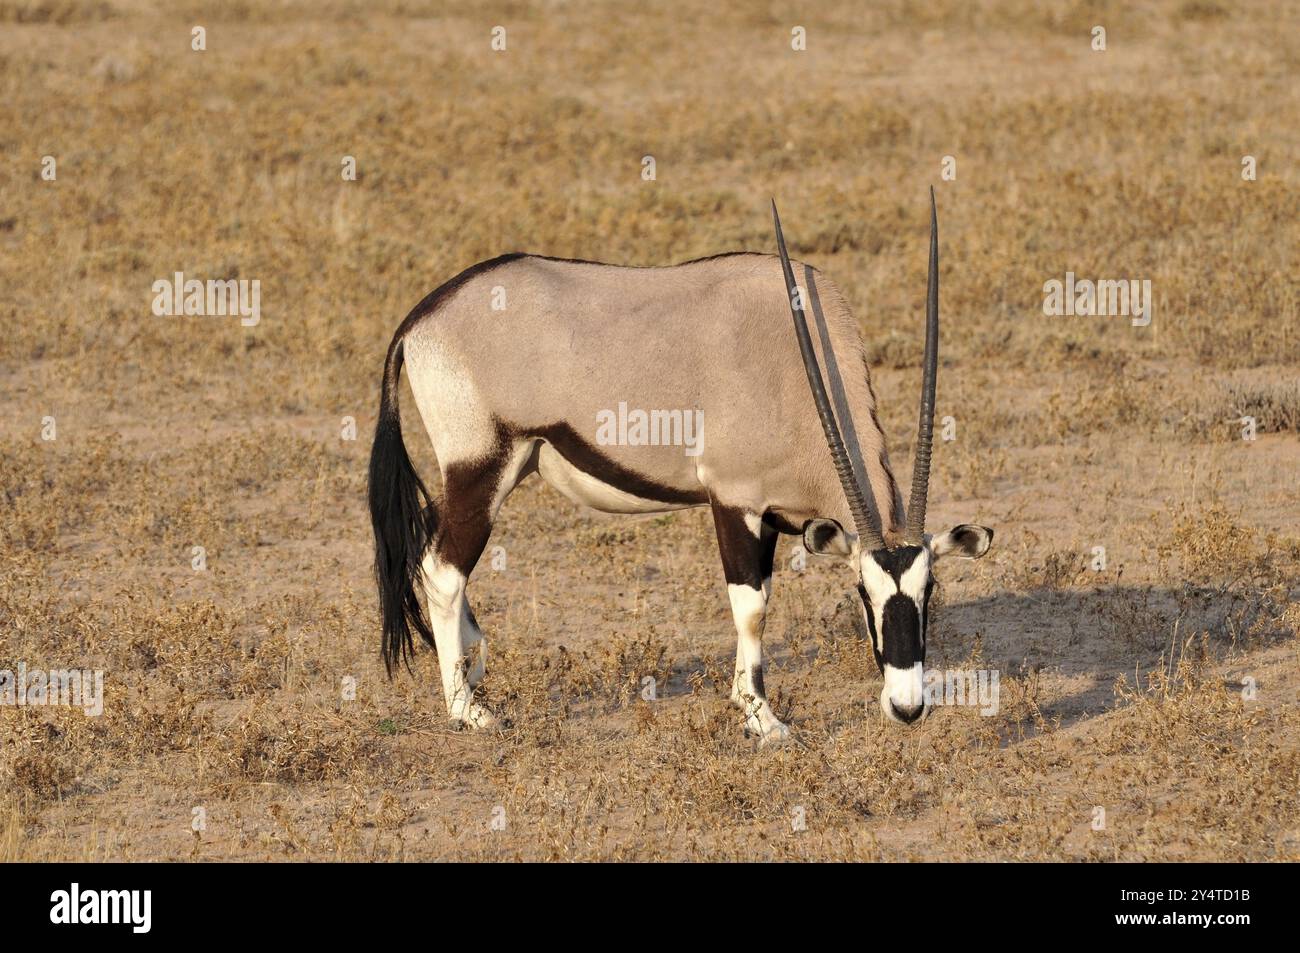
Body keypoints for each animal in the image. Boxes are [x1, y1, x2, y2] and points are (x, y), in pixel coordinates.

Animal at [368, 191, 993, 741]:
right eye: (865, 592)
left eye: (930, 589)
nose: (907, 708)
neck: (792, 357)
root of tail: (420, 319)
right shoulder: (734, 500)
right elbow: (752, 607)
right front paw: (762, 719)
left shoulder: (769, 512)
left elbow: (764, 598)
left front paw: (748, 701)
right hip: (481, 467)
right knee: (442, 570)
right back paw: (467, 710)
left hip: (504, 468)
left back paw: (474, 668)